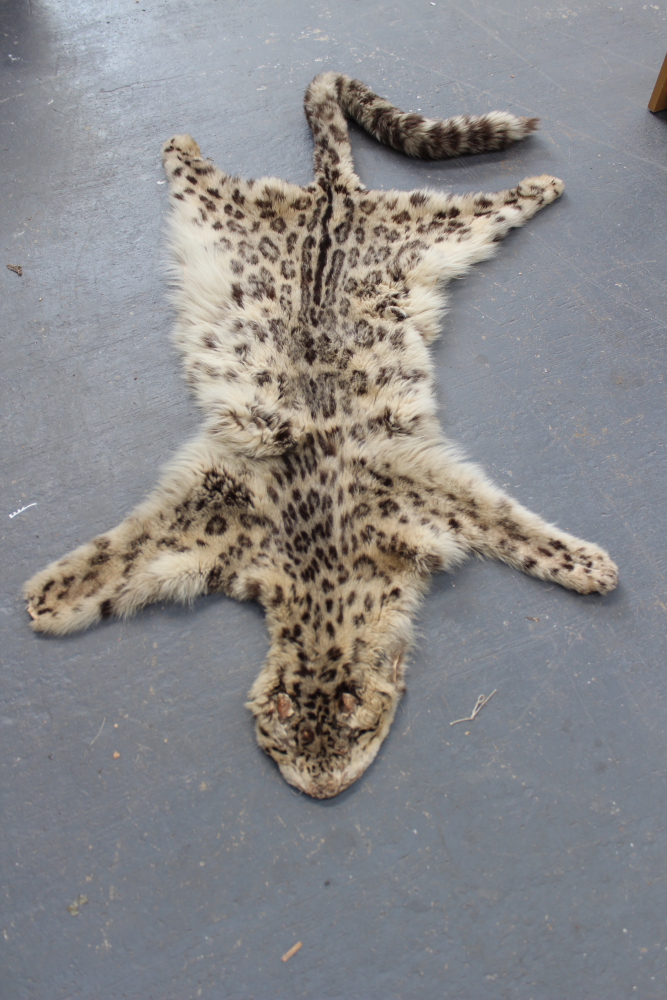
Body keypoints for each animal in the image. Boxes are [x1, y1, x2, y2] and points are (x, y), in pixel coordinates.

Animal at [23, 72, 618, 799]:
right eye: (283, 745)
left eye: (357, 736)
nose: (323, 790)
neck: (323, 565)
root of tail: (331, 194)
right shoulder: (217, 510)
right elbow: (122, 553)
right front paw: (51, 596)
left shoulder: (426, 488)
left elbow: (510, 527)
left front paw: (587, 566)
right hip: (240, 212)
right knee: (198, 170)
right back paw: (184, 140)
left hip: (435, 228)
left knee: (486, 202)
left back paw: (541, 183)